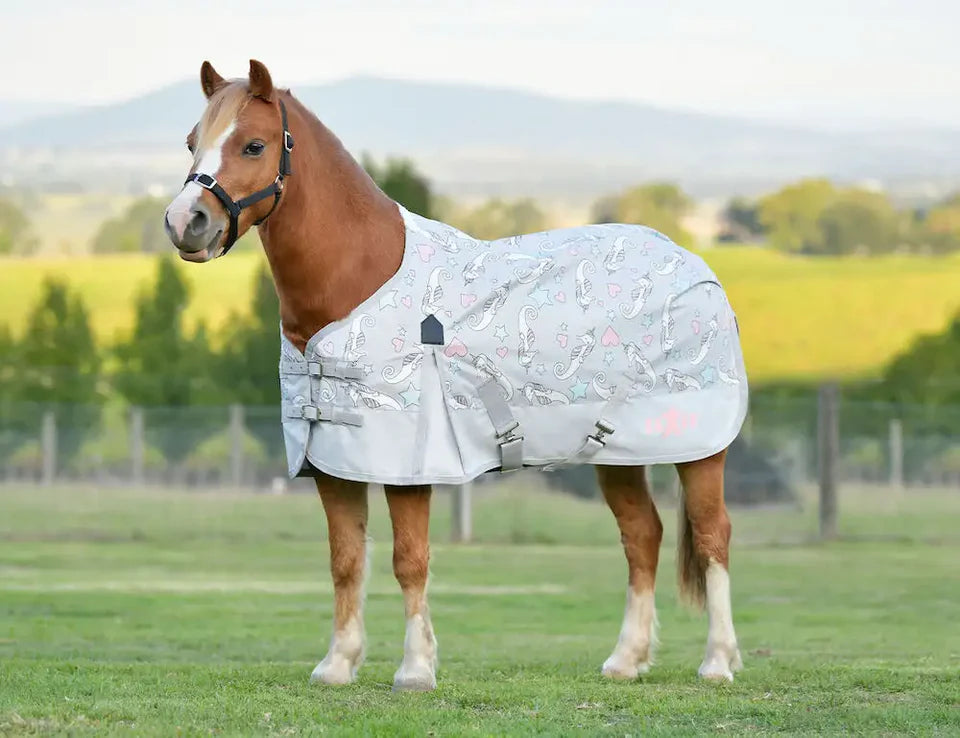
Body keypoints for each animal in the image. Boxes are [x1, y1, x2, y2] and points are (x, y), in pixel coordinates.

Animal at [163, 60, 744, 691]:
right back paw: (626, 660)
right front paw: (338, 664)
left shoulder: (408, 466)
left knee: (712, 536)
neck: (360, 278)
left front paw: (415, 669)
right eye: (192, 141)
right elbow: (346, 560)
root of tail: (692, 263)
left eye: (254, 144)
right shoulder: (333, 463)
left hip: (699, 450)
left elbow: (409, 560)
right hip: (616, 454)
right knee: (642, 536)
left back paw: (718, 660)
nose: (186, 222)